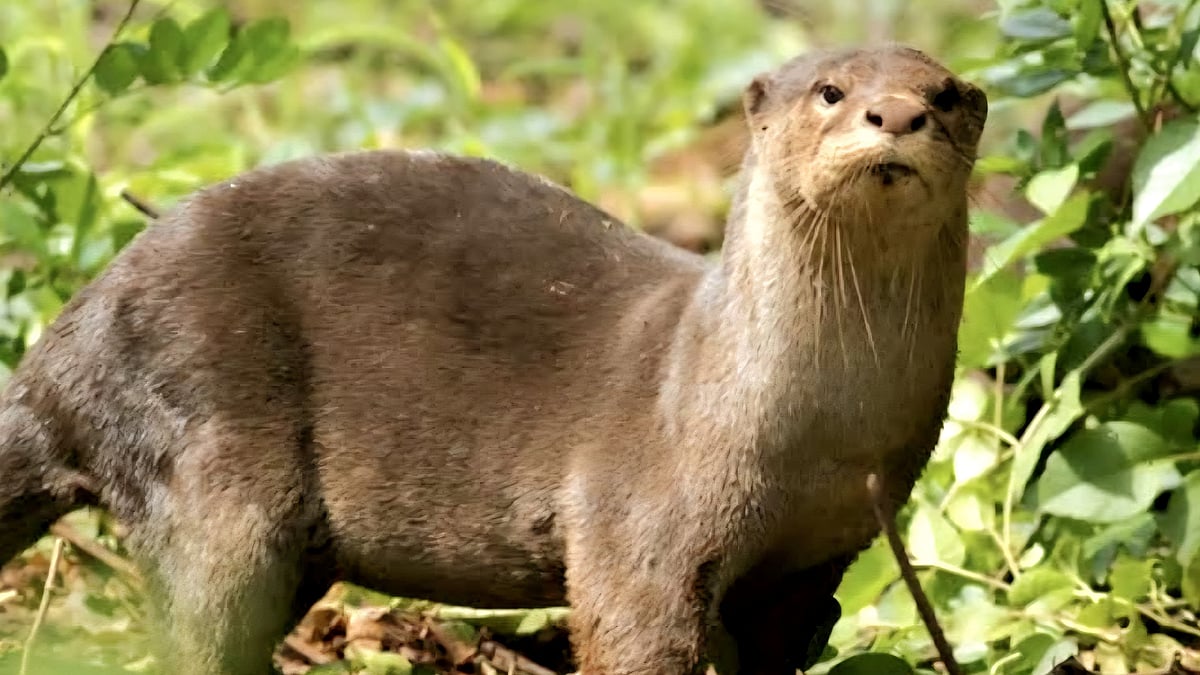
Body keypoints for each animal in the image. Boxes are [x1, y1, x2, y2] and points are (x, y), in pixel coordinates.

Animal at [0, 45, 986, 674]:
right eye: (830, 90)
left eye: (942, 94)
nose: (897, 113)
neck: (819, 429)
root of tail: (67, 339)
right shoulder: (638, 529)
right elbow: (631, 633)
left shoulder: (822, 553)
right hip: (204, 437)